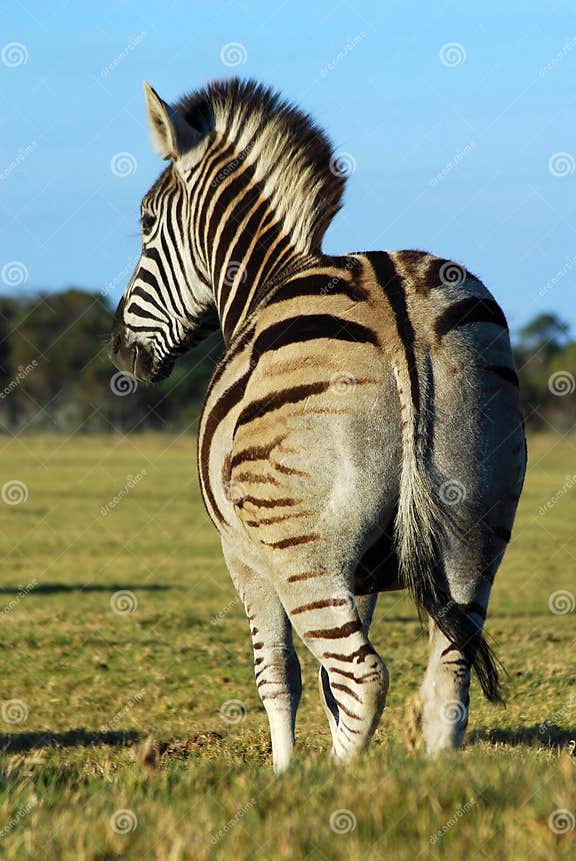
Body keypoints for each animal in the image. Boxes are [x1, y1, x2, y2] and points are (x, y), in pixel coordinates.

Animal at [110, 78, 526, 774]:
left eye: (145, 222)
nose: (119, 354)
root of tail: (396, 302)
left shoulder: (244, 555)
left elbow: (280, 675)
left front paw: (284, 777)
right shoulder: (362, 574)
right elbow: (327, 692)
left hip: (301, 549)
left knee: (363, 675)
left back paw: (336, 791)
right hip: (476, 528)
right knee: (445, 679)